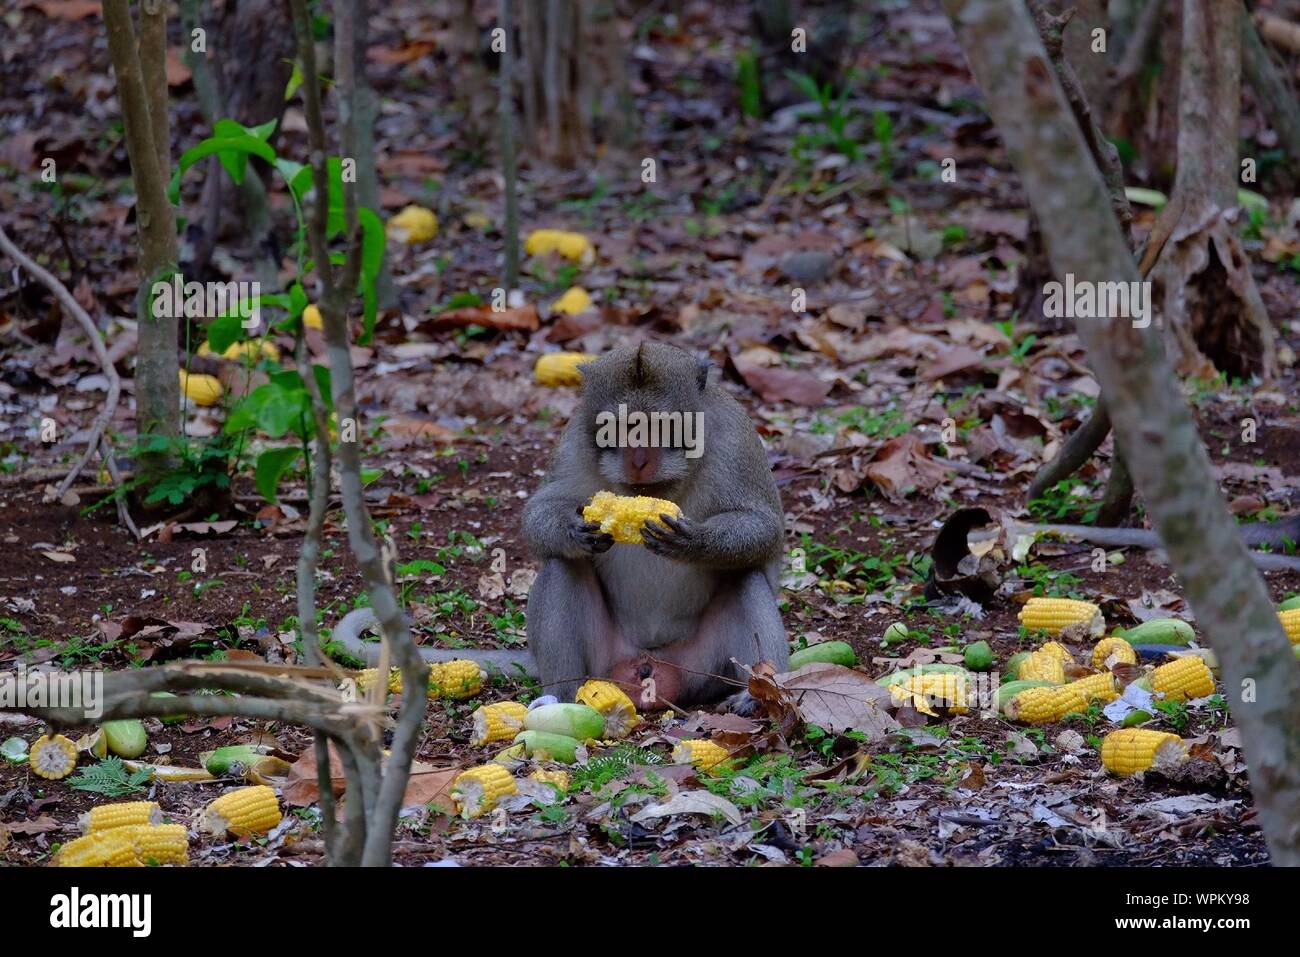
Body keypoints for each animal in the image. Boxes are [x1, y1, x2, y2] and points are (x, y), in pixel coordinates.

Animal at [331, 342, 789, 712]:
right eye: (619, 428)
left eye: (661, 427)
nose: (639, 461)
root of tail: (647, 660)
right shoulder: (573, 440)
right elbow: (539, 514)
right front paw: (573, 530)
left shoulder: (735, 437)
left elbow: (764, 529)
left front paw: (694, 541)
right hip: (603, 662)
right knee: (561, 568)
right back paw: (562, 696)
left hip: (702, 666)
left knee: (744, 578)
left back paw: (757, 693)